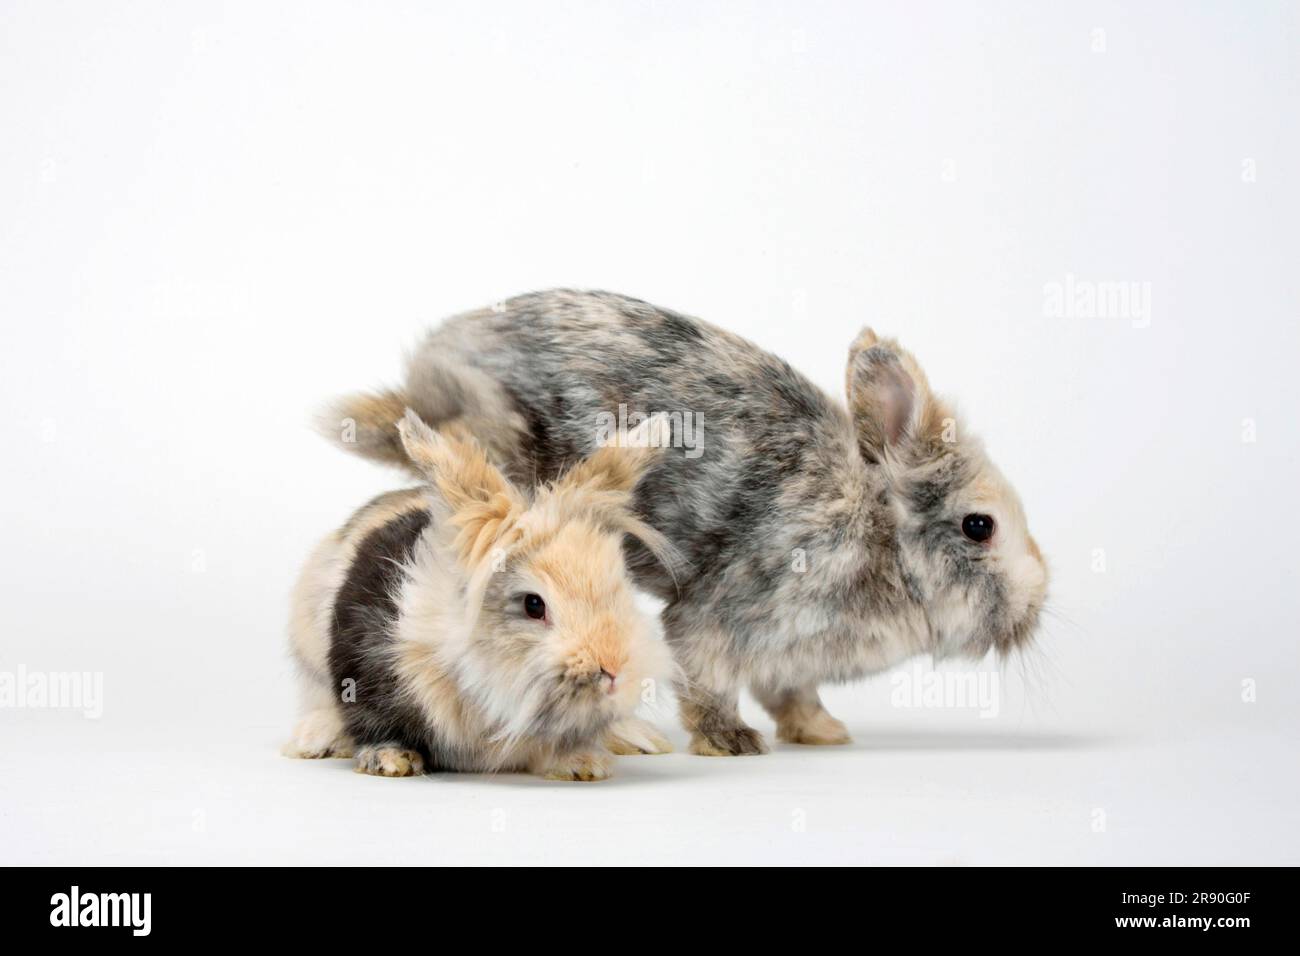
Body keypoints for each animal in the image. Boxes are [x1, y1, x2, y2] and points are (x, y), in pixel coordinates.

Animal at [283, 409, 678, 780]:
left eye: (620, 586)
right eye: (533, 604)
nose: (612, 668)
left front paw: (583, 764)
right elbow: (375, 725)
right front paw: (391, 761)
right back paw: (313, 740)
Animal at [322, 289, 1048, 757]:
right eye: (979, 526)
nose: (1039, 598)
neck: (879, 532)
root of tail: (425, 388)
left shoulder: (791, 655)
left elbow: (792, 693)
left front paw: (821, 732)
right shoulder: (729, 616)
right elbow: (707, 679)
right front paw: (731, 743)